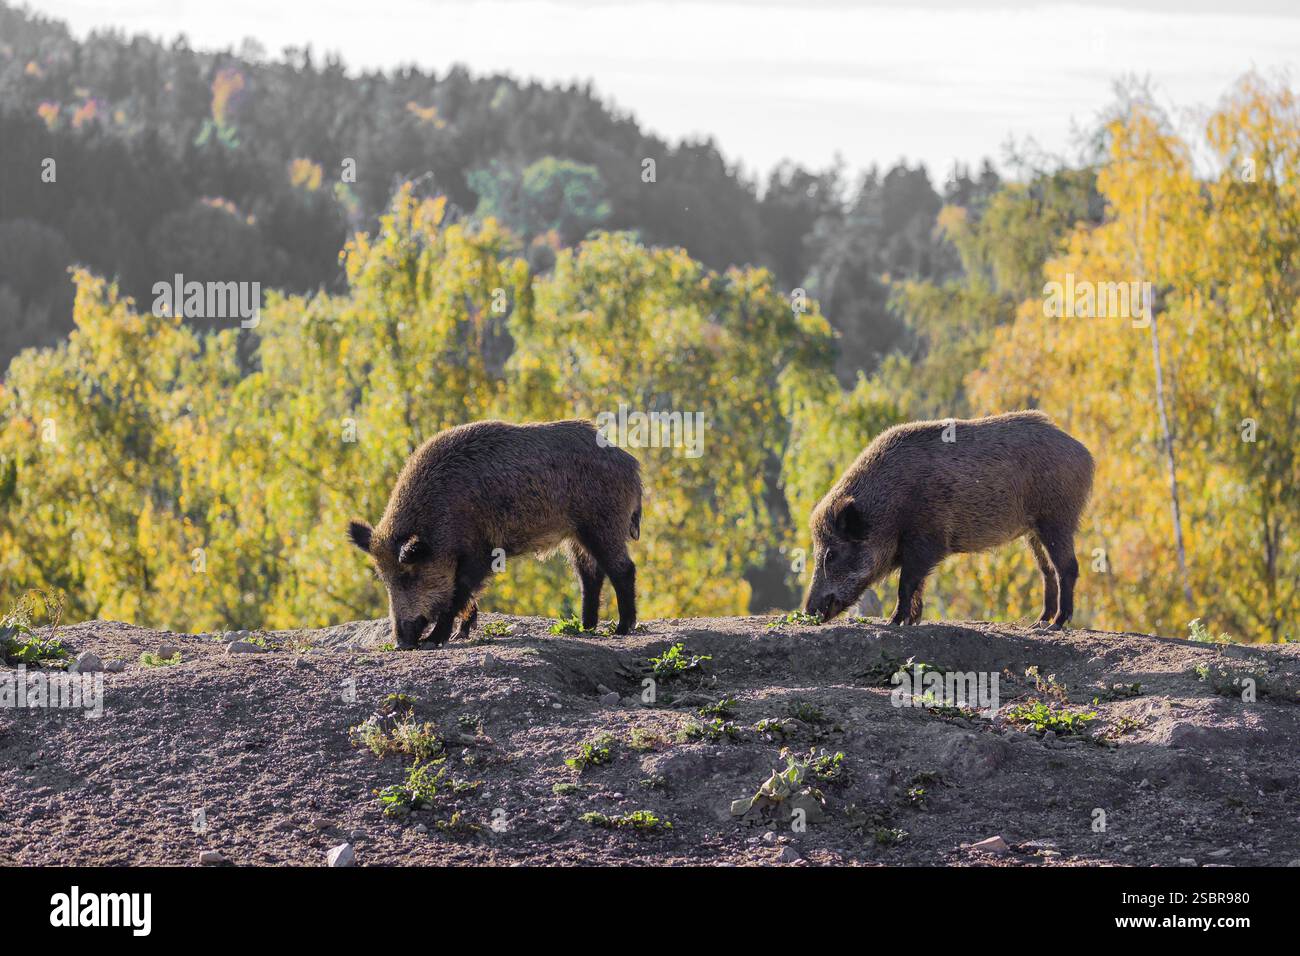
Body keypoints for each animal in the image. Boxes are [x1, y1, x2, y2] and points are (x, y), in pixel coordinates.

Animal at [348, 419, 642, 648]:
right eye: (384, 579)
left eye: (408, 574)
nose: (402, 644)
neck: (441, 516)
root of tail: (632, 465)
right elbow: (465, 596)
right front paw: (460, 635)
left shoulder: (480, 552)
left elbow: (458, 593)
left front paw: (436, 640)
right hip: (576, 535)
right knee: (589, 576)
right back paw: (585, 628)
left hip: (603, 523)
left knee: (623, 569)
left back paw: (622, 628)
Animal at [803, 411, 1094, 629]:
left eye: (831, 553)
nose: (808, 611)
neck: (888, 507)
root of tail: (1085, 454)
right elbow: (918, 586)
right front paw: (910, 621)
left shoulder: (926, 541)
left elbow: (906, 584)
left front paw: (893, 622)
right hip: (1033, 531)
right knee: (1046, 571)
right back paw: (1038, 623)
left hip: (1057, 518)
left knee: (1068, 567)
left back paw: (1056, 624)